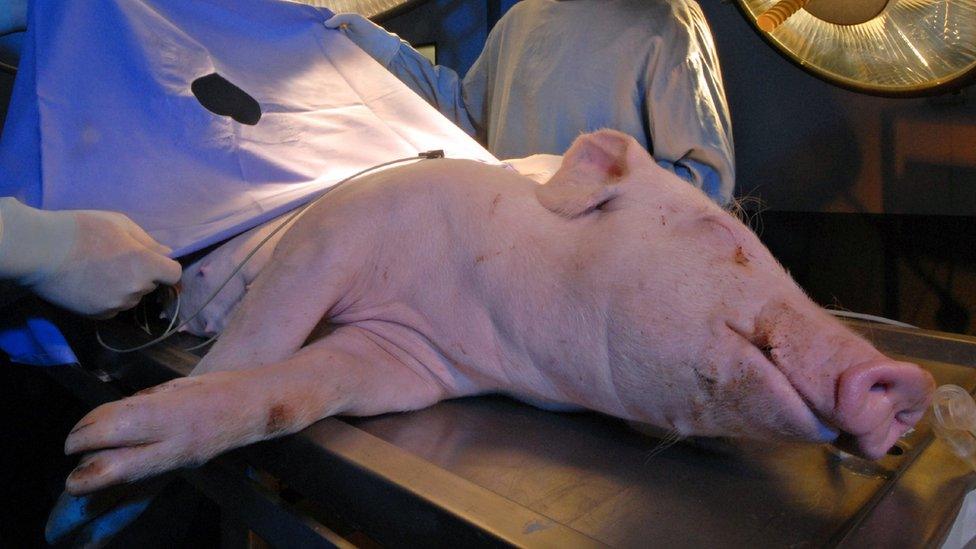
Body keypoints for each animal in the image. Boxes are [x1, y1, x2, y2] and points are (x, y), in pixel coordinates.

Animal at [62, 130, 935, 495]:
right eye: (726, 236)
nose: (913, 381)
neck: (492, 321)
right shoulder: (342, 227)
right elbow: (265, 335)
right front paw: (87, 455)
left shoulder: (404, 362)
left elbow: (293, 391)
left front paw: (93, 456)